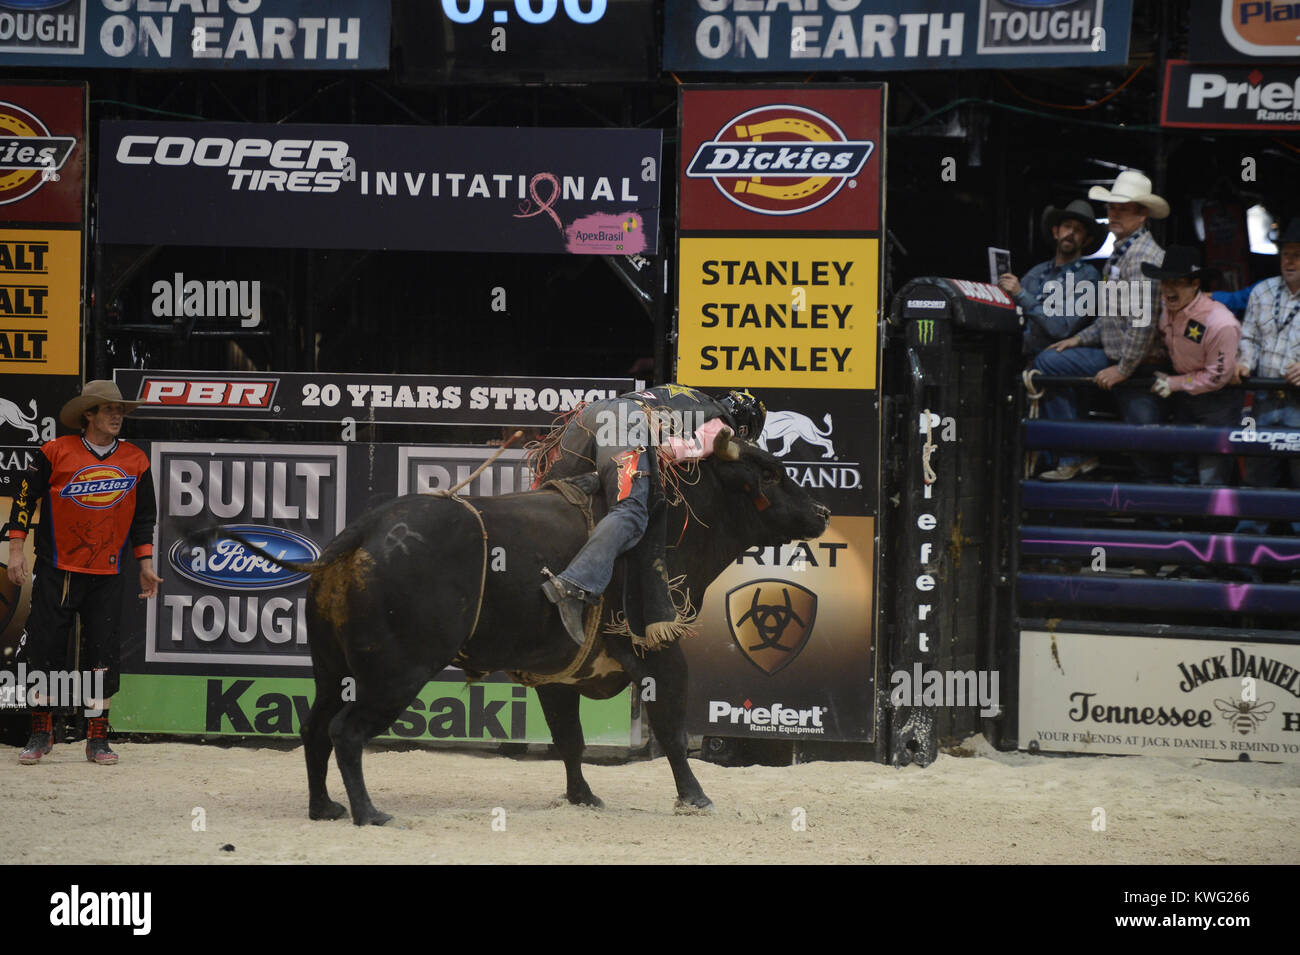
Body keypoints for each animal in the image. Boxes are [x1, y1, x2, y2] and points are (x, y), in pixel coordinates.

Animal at [210, 438, 829, 825]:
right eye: (770, 473)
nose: (823, 512)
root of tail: (362, 532)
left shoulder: (557, 673)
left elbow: (570, 740)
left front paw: (582, 797)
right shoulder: (661, 652)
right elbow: (673, 732)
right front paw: (695, 798)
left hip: (332, 669)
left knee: (315, 729)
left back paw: (325, 808)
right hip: (395, 674)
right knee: (346, 732)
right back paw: (369, 813)